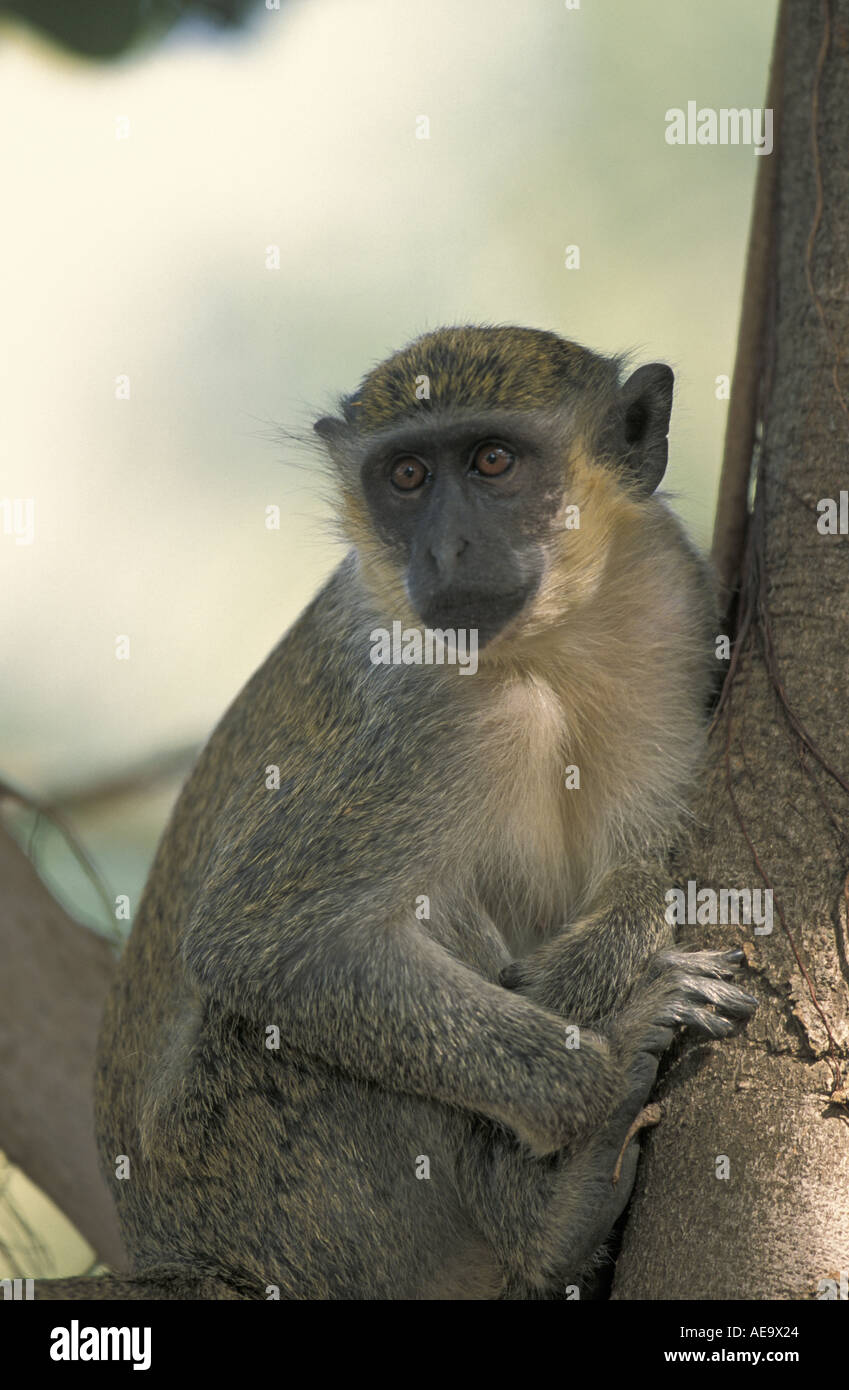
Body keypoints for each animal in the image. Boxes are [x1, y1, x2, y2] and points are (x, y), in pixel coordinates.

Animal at [78, 324, 757, 1302]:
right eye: (405, 477)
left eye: (492, 461)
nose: (446, 552)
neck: (538, 649)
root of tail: (180, 1256)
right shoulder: (425, 715)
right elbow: (263, 944)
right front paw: (592, 1073)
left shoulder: (670, 600)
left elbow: (640, 861)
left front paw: (597, 962)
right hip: (260, 1185)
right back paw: (544, 1219)